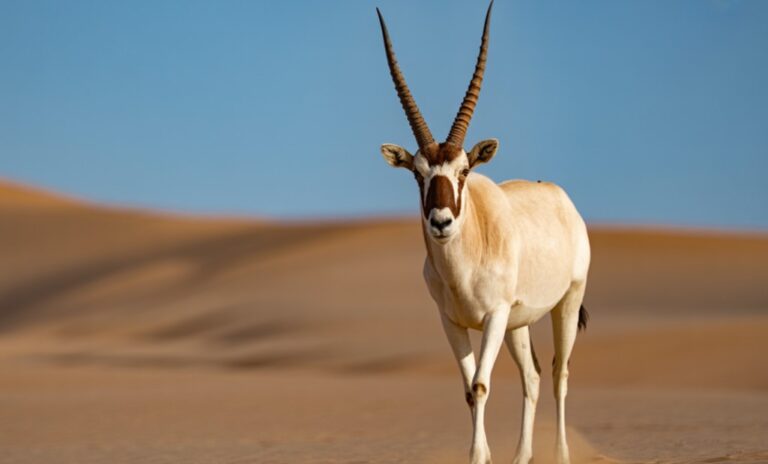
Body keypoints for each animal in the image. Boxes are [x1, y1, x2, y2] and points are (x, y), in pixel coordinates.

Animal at [376, 3, 590, 464]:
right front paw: (485, 454)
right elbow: (469, 390)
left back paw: (561, 453)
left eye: (464, 171)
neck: (465, 265)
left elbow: (480, 384)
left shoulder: (492, 317)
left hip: (566, 302)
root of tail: (560, 197)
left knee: (560, 373)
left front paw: (478, 455)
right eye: (417, 173)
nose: (441, 222)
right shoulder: (452, 322)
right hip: (518, 324)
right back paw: (522, 456)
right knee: (533, 377)